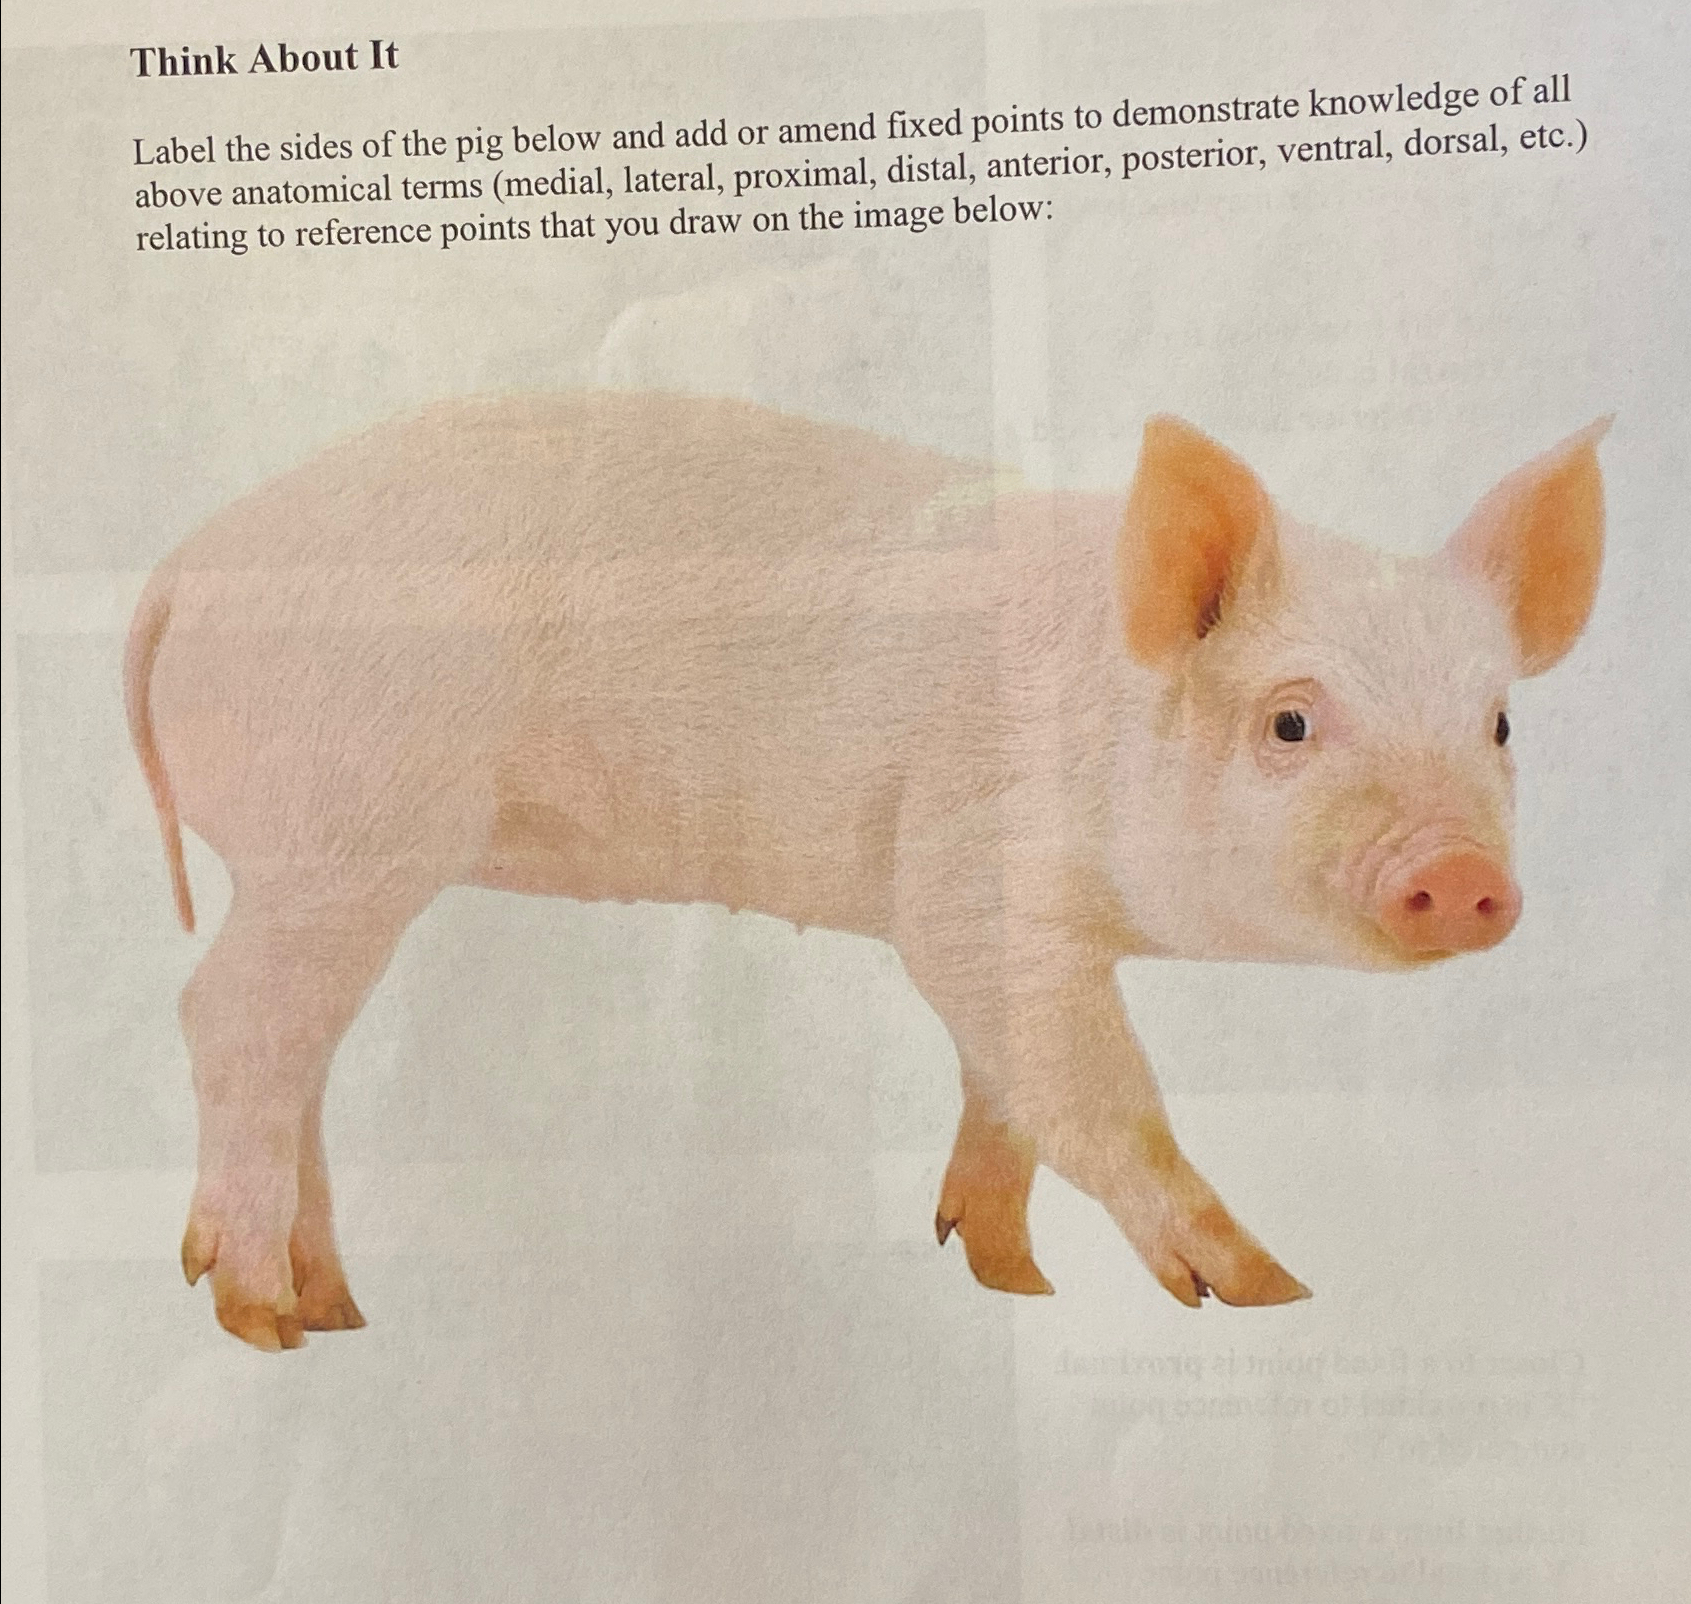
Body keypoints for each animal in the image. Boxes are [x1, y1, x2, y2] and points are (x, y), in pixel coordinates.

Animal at [123, 394, 1609, 1350]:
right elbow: (1093, 1089)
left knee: (293, 1047)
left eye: (1496, 722)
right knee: (224, 1018)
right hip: (340, 825)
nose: (1462, 874)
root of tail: (184, 564)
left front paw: (1011, 1281)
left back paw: (332, 1307)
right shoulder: (966, 867)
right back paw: (262, 1321)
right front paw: (1269, 1294)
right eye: (1290, 722)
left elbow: (1006, 1085)